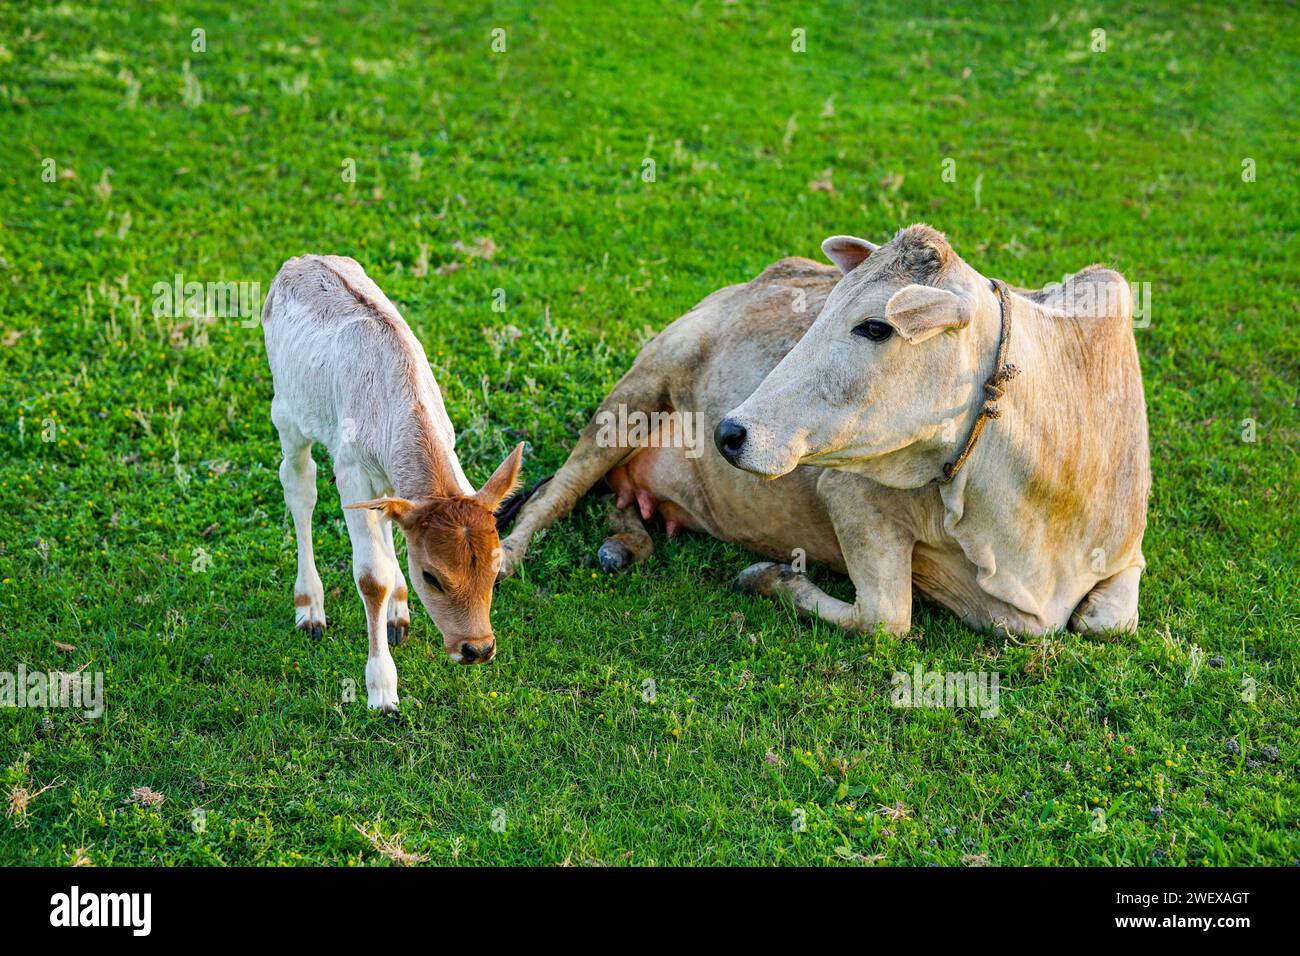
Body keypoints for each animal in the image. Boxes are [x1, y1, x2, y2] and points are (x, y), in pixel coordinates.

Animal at [263, 255, 523, 711]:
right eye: (432, 577)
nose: (477, 649)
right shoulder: (350, 469)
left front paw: (397, 610)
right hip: (287, 411)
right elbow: (372, 575)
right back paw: (310, 606)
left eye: (496, 568)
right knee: (299, 486)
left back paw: (397, 611)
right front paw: (382, 689)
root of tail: (299, 261)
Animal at [496, 225, 1150, 637]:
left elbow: (1107, 622)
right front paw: (769, 577)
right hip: (636, 392)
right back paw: (506, 556)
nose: (728, 433)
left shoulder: (1128, 552)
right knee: (556, 495)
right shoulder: (848, 491)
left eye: (876, 327)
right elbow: (887, 620)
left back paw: (623, 544)